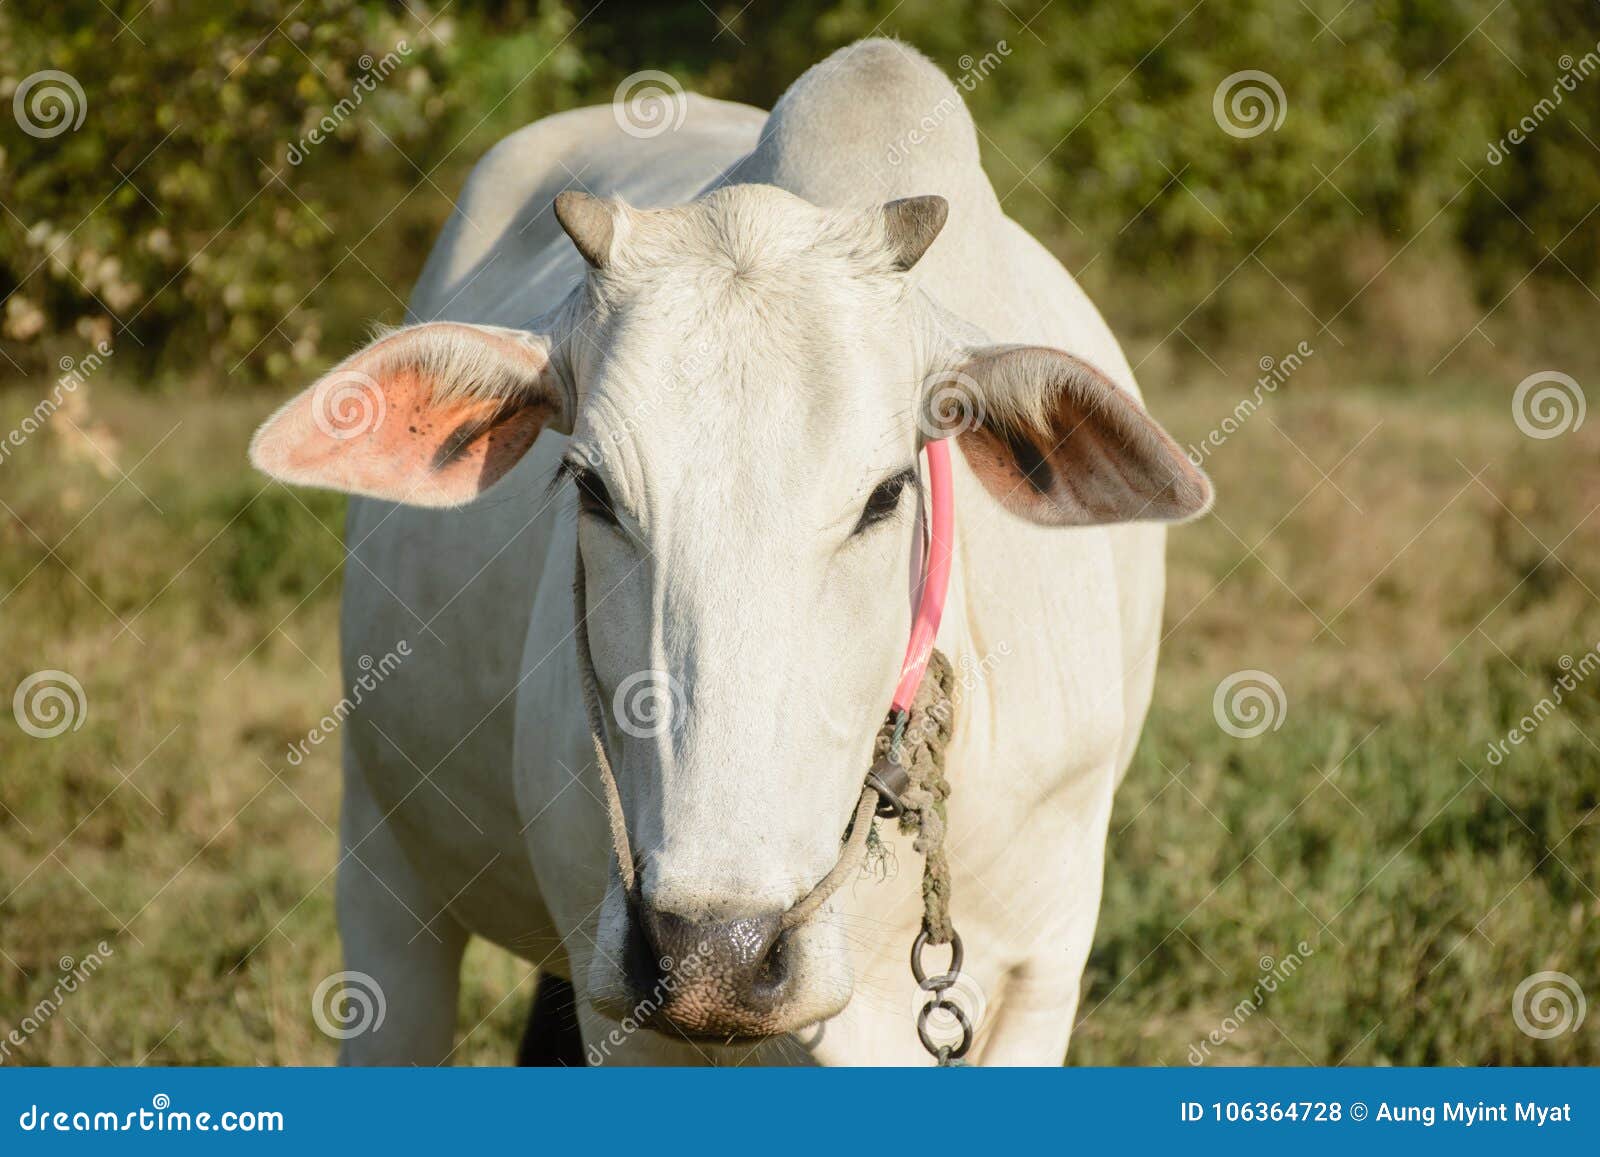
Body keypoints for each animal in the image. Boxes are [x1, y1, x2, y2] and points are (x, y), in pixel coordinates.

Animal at [249, 38, 1210, 1065]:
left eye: (886, 493)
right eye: (590, 487)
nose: (716, 952)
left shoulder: (1043, 971)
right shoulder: (622, 1005)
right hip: (385, 867)